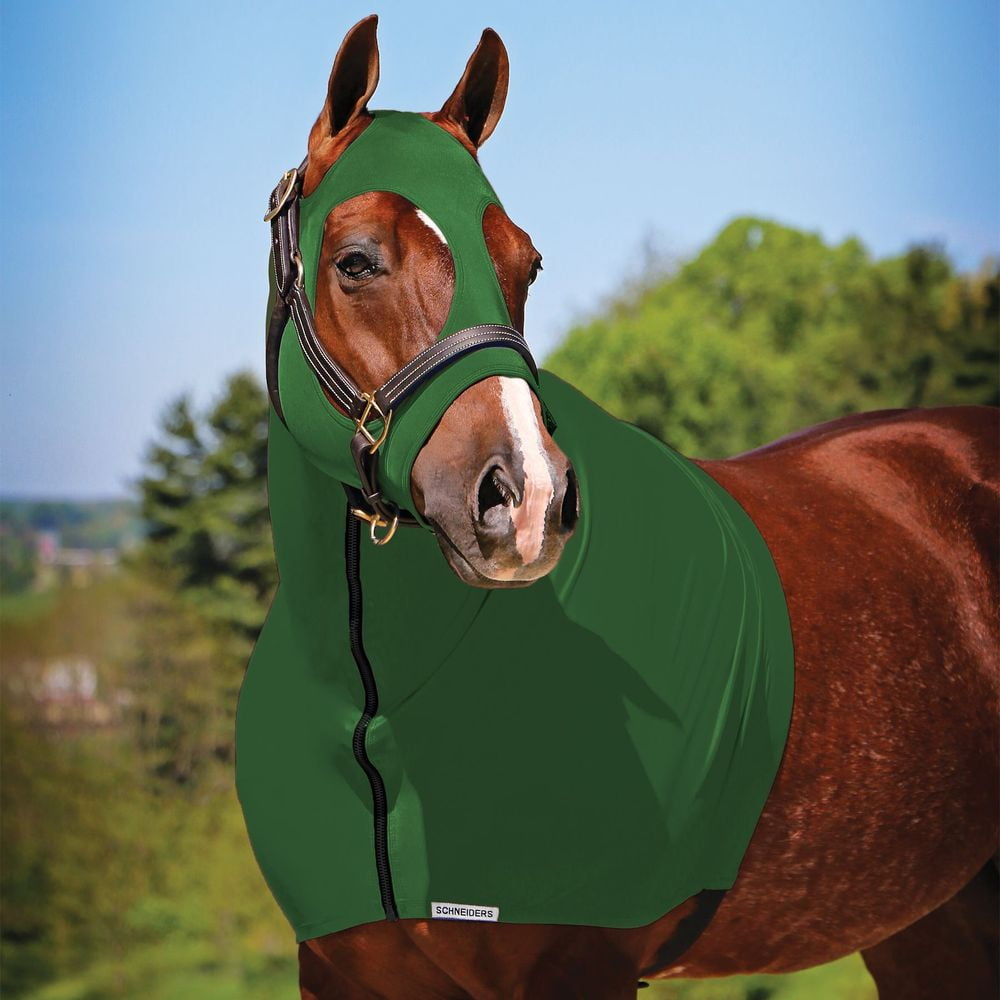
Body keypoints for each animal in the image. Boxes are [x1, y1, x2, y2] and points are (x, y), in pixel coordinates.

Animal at [263, 16, 998, 999]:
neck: (379, 707)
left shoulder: (581, 966)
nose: (527, 497)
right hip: (933, 921)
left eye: (526, 264)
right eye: (355, 262)